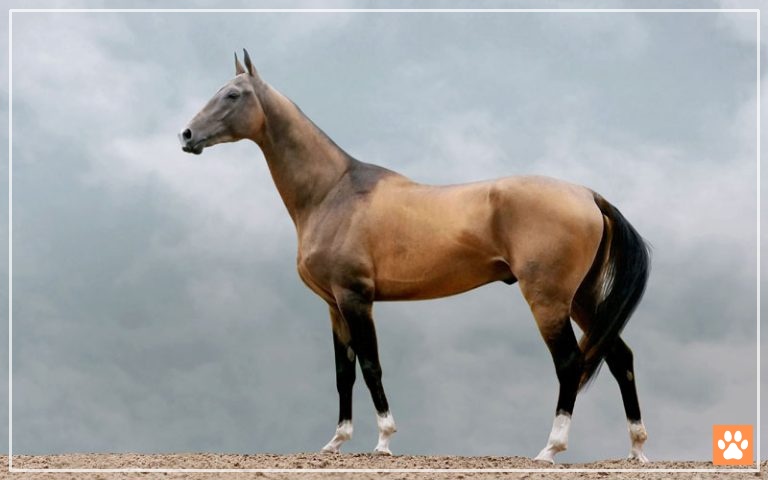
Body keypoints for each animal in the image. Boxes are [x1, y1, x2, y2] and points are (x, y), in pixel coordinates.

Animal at [179, 49, 651, 463]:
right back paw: (636, 450)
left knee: (570, 364)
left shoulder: (355, 298)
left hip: (549, 301)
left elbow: (371, 366)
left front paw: (384, 441)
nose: (186, 136)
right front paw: (336, 442)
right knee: (621, 357)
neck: (333, 192)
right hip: (582, 300)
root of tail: (587, 194)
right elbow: (344, 373)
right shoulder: (333, 305)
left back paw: (550, 449)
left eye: (232, 95)